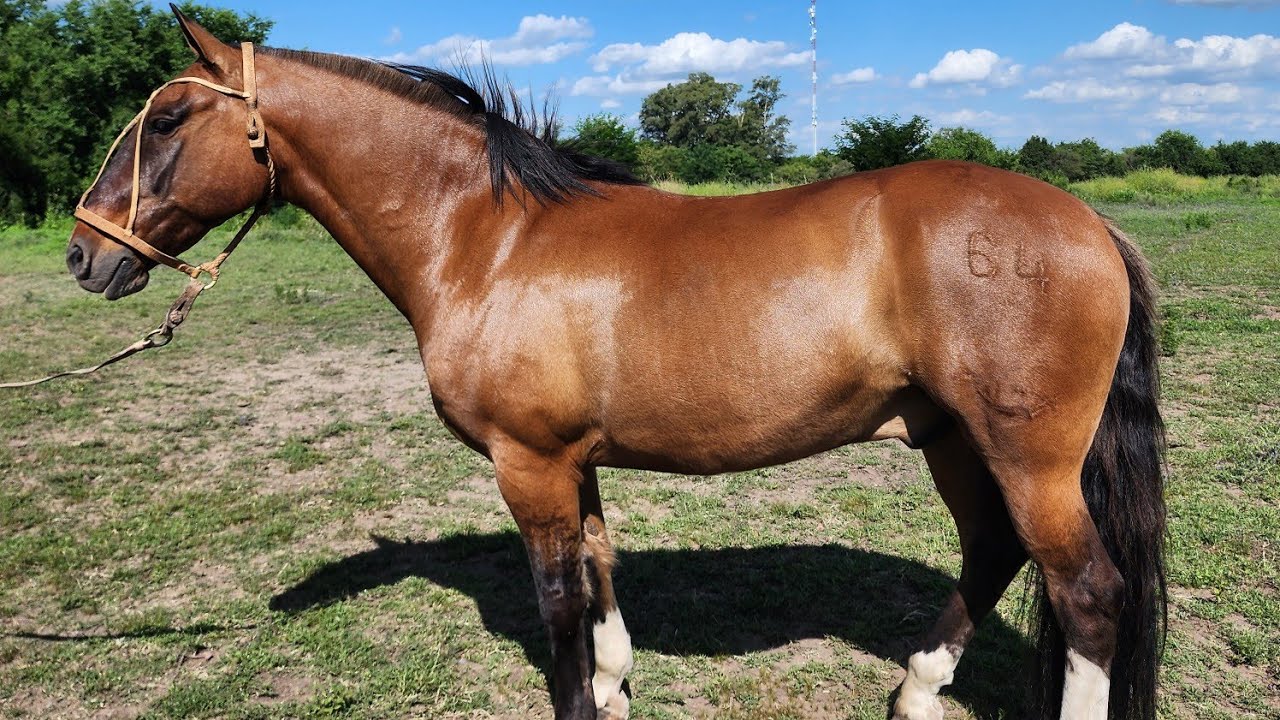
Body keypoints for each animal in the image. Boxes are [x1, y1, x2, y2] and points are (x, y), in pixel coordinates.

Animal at [63, 8, 1166, 720]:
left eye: (169, 120)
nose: (84, 254)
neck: (487, 240)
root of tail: (1088, 223)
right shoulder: (571, 462)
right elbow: (597, 580)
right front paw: (613, 684)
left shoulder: (530, 464)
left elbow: (557, 603)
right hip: (952, 440)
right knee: (995, 554)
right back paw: (916, 690)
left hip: (1027, 455)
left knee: (1087, 593)